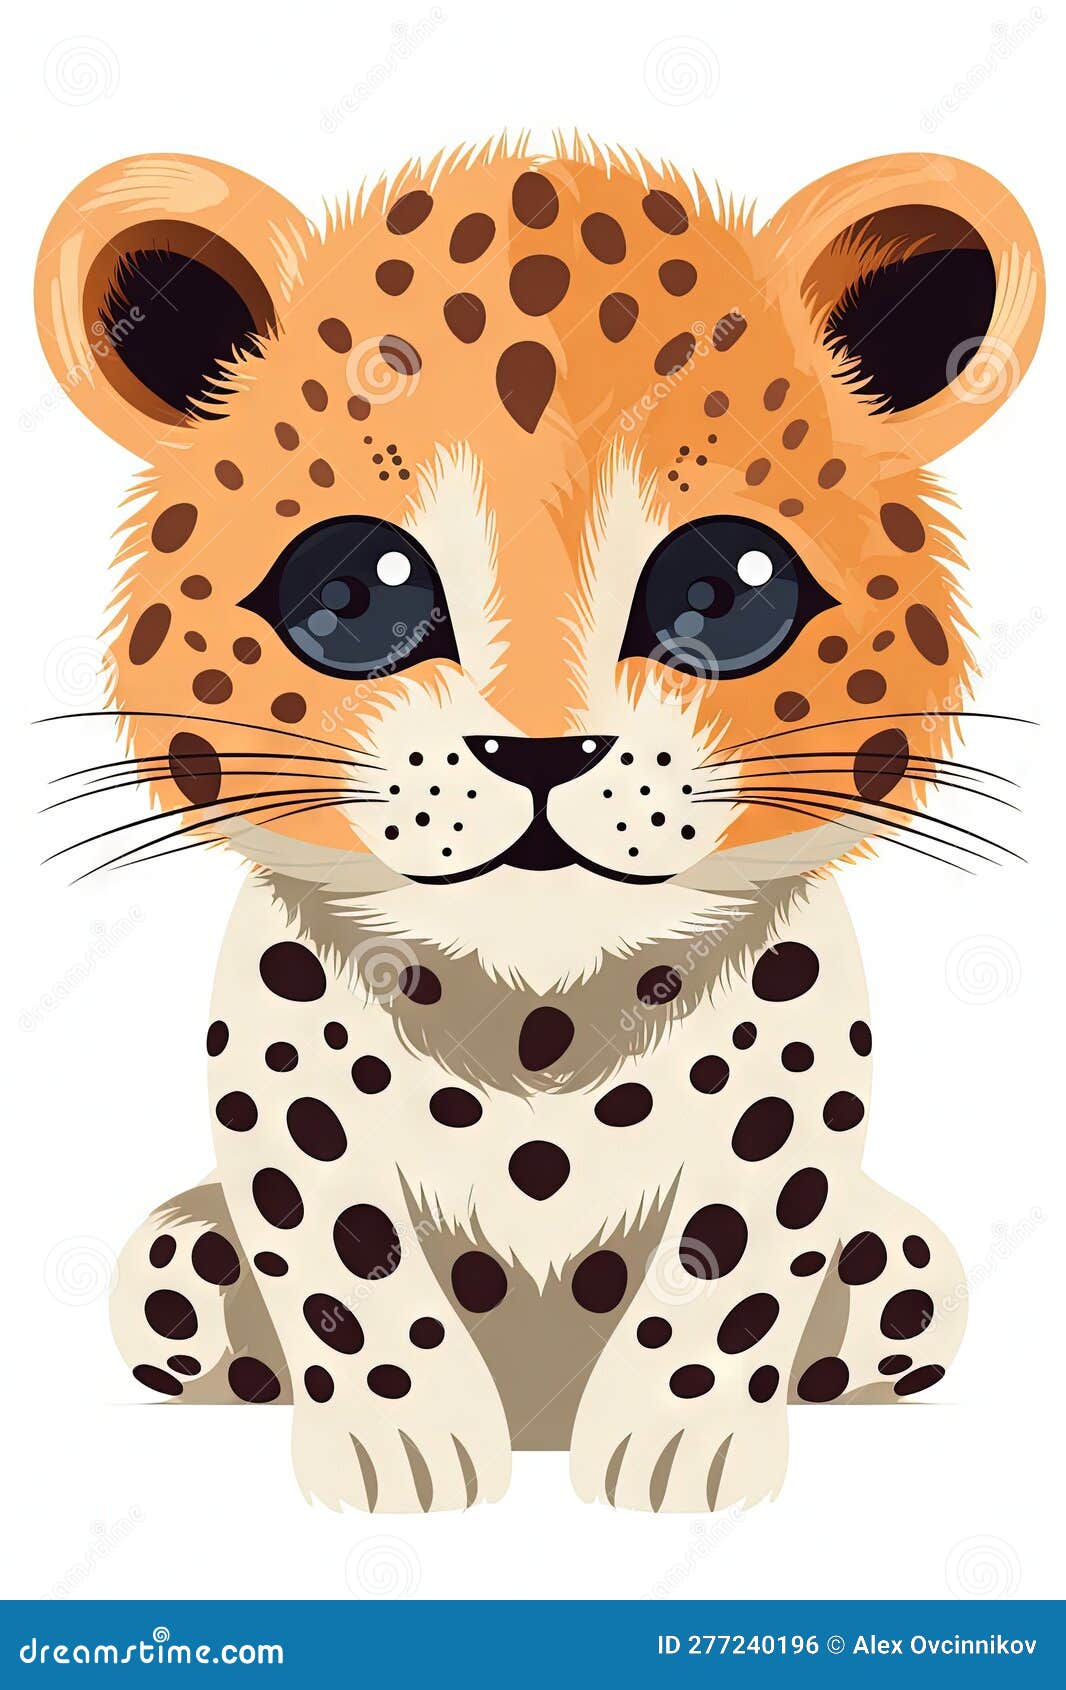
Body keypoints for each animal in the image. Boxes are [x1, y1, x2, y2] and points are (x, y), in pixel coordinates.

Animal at [34, 138, 1043, 1513]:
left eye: (727, 590)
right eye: (355, 594)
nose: (540, 754)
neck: (537, 1010)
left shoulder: (797, 1089)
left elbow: (734, 1259)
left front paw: (680, 1449)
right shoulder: (279, 1085)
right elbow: (343, 1254)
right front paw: (398, 1450)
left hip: (907, 1263)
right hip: (166, 1262)